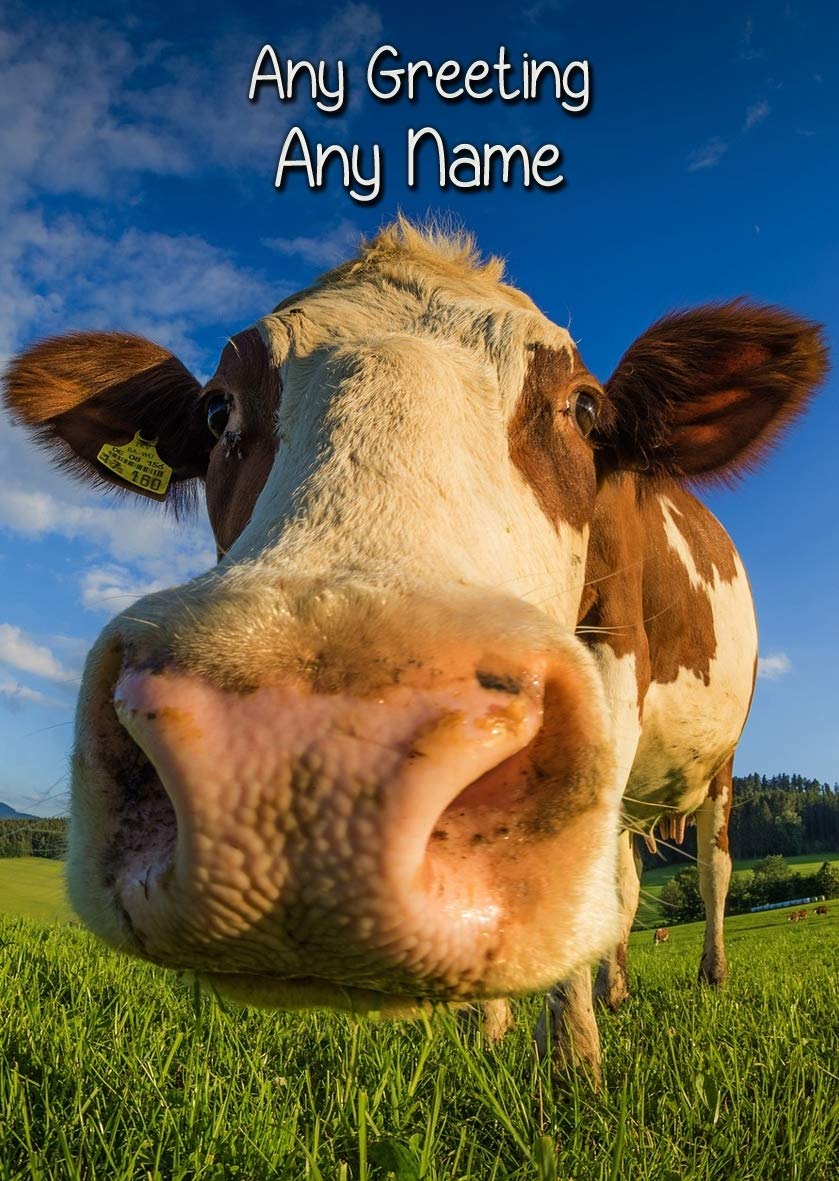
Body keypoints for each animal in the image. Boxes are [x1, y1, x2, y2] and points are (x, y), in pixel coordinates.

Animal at [3, 220, 828, 1081]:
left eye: (583, 406)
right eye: (215, 408)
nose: (310, 762)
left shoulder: (617, 663)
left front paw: (569, 1064)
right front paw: (486, 1026)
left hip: (720, 763)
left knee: (709, 867)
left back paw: (708, 977)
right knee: (627, 878)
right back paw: (615, 990)